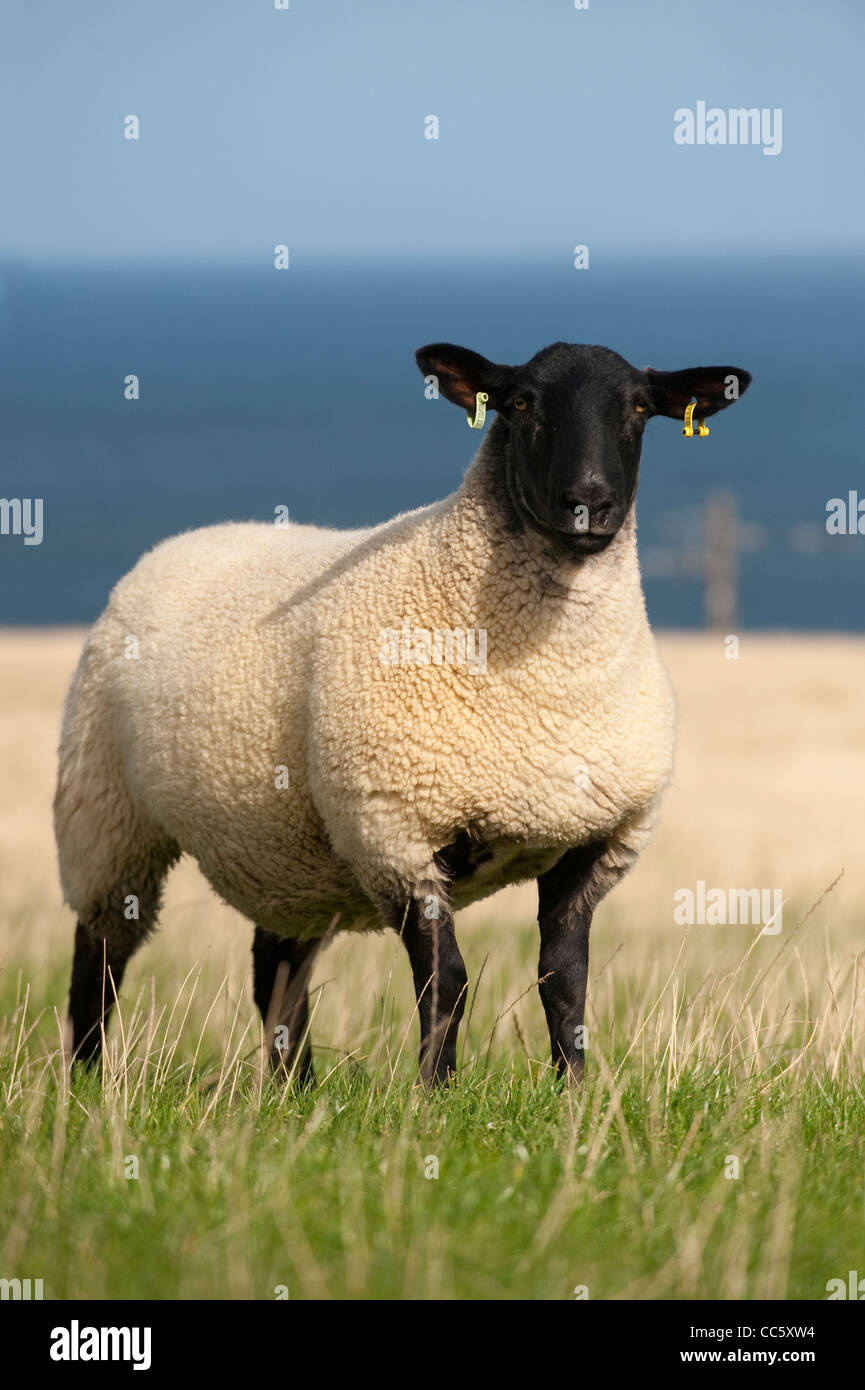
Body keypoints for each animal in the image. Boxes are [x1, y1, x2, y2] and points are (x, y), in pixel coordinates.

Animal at [54, 340, 751, 1085]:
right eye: (521, 402)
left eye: (641, 408)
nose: (589, 502)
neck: (544, 679)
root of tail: (181, 541)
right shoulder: (398, 831)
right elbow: (446, 982)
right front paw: (435, 1095)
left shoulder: (594, 844)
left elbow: (563, 980)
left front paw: (576, 1095)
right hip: (107, 813)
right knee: (100, 959)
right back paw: (88, 1085)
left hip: (288, 849)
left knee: (277, 971)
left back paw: (294, 1091)